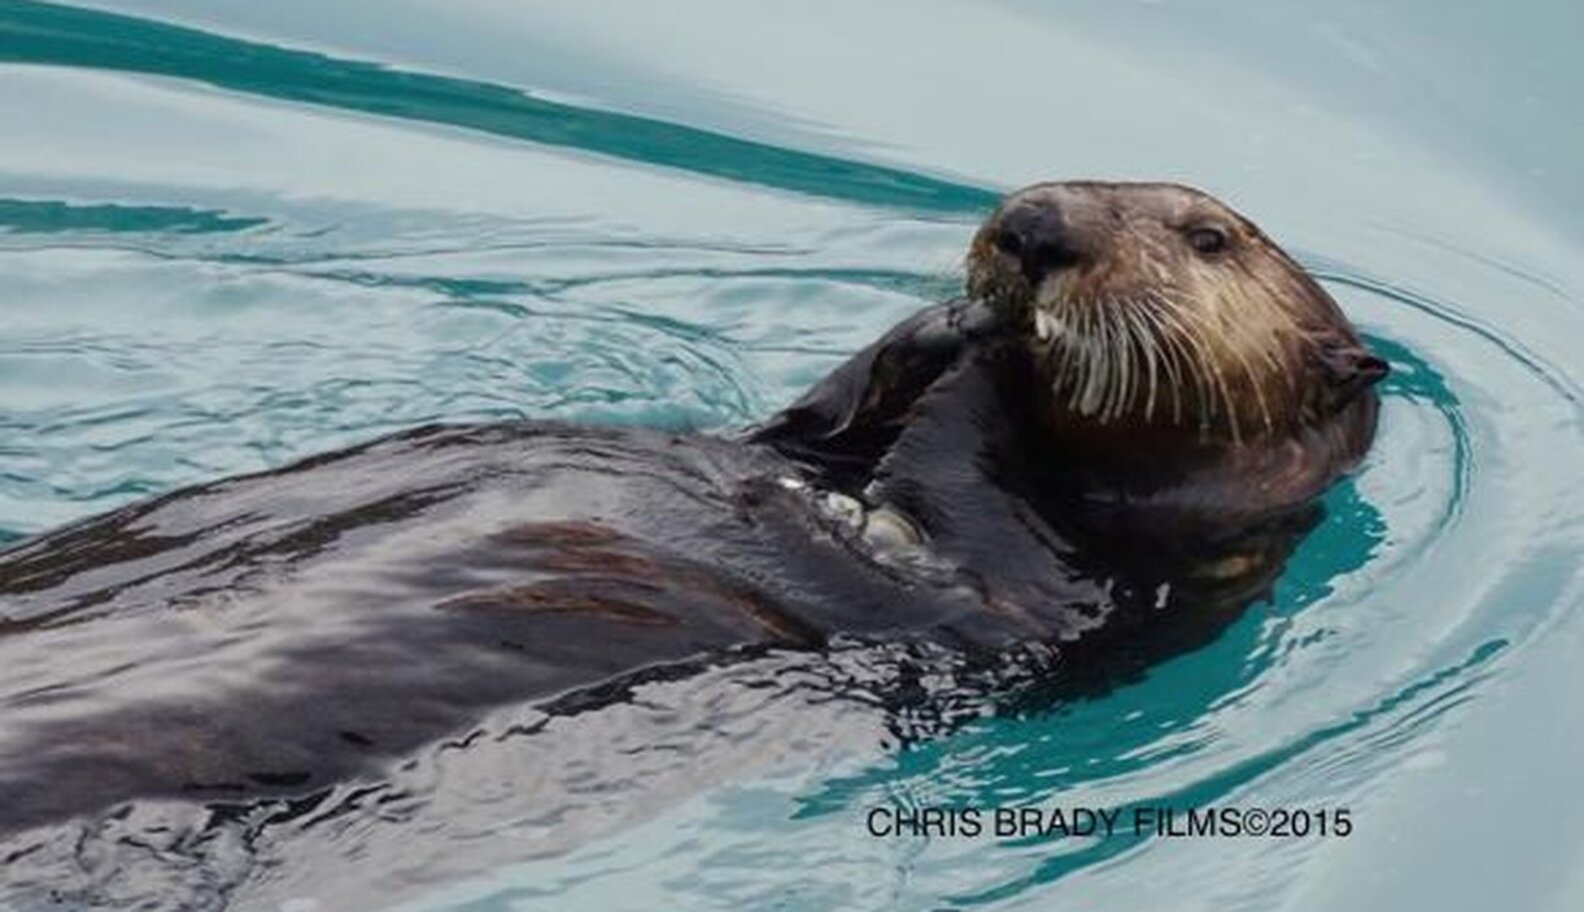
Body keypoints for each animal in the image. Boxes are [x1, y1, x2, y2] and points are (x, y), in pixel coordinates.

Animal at [0, 182, 1385, 832]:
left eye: (1209, 239)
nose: (1031, 226)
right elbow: (796, 430)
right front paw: (938, 328)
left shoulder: (1075, 599)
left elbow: (958, 528)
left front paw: (989, 361)